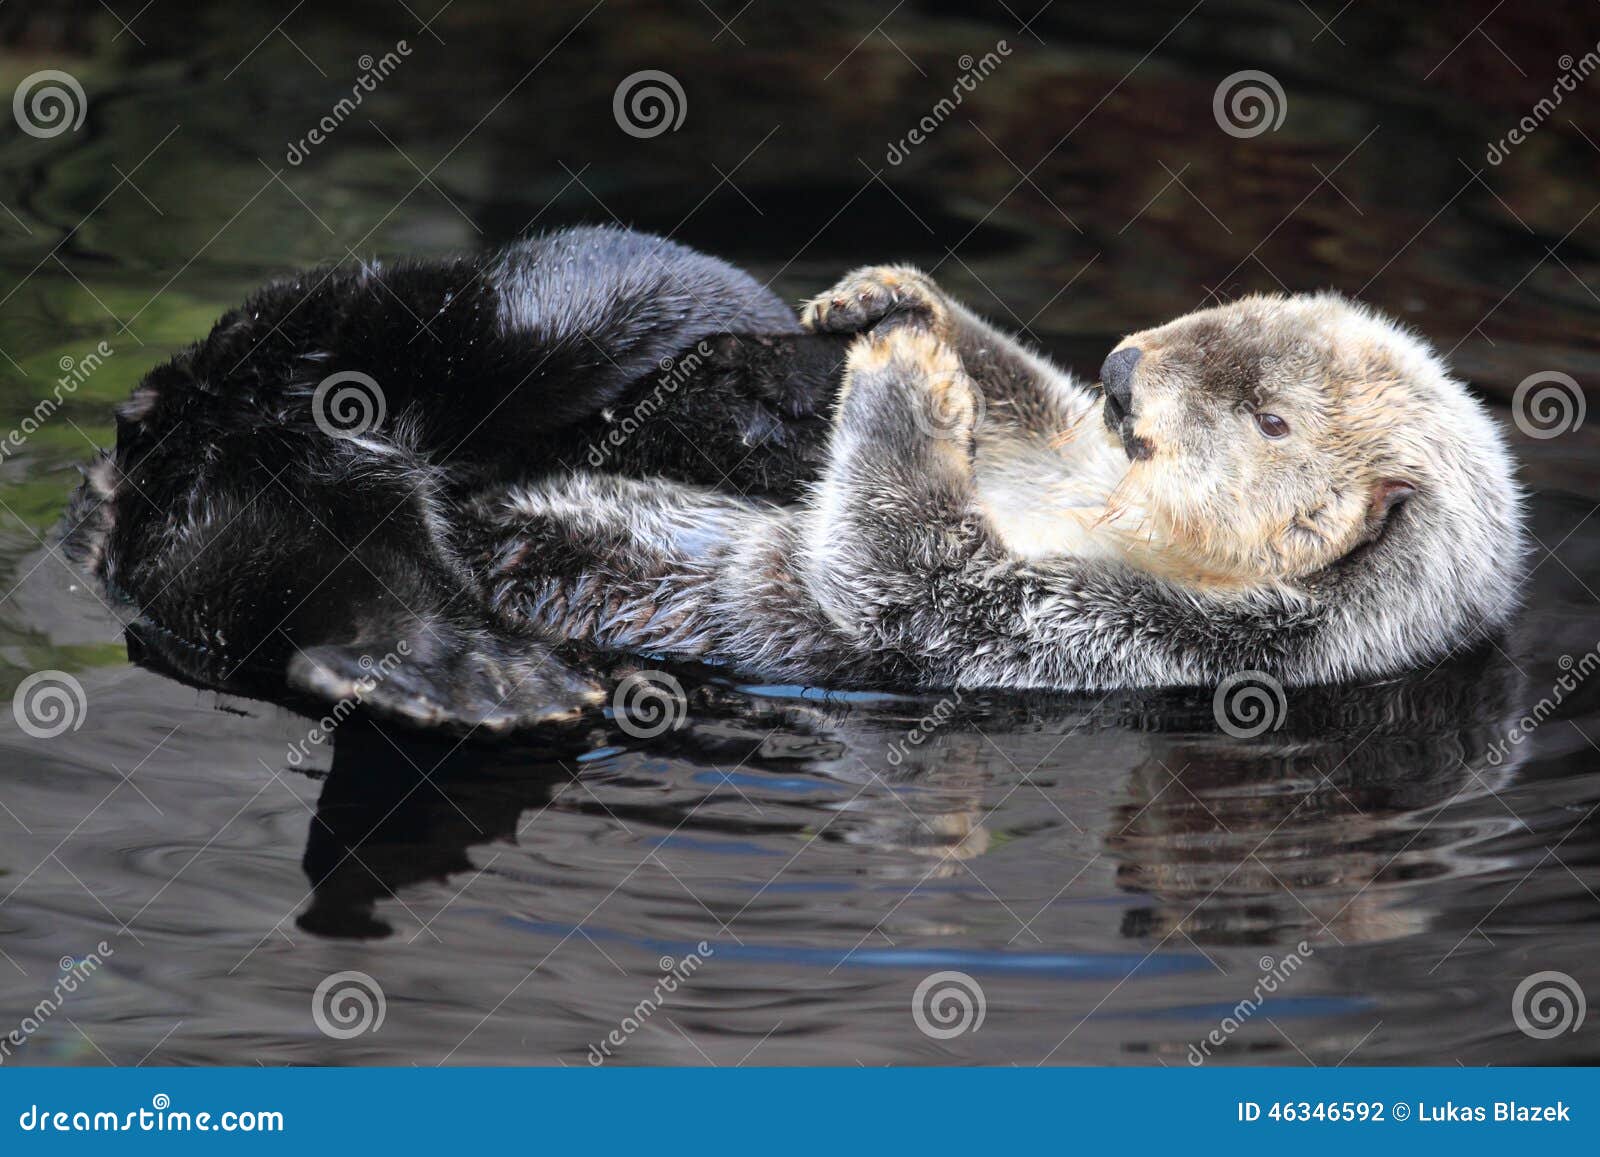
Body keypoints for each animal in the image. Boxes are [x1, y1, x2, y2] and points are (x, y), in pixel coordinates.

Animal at [68, 230, 1526, 729]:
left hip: (265, 549)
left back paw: (463, 682)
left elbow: (895, 570)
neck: (1100, 527)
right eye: (1226, 316)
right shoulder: (1067, 463)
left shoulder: (1097, 637)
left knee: (299, 588)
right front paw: (908, 310)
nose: (1127, 362)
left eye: (1269, 416)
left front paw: (911, 380)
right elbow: (1034, 418)